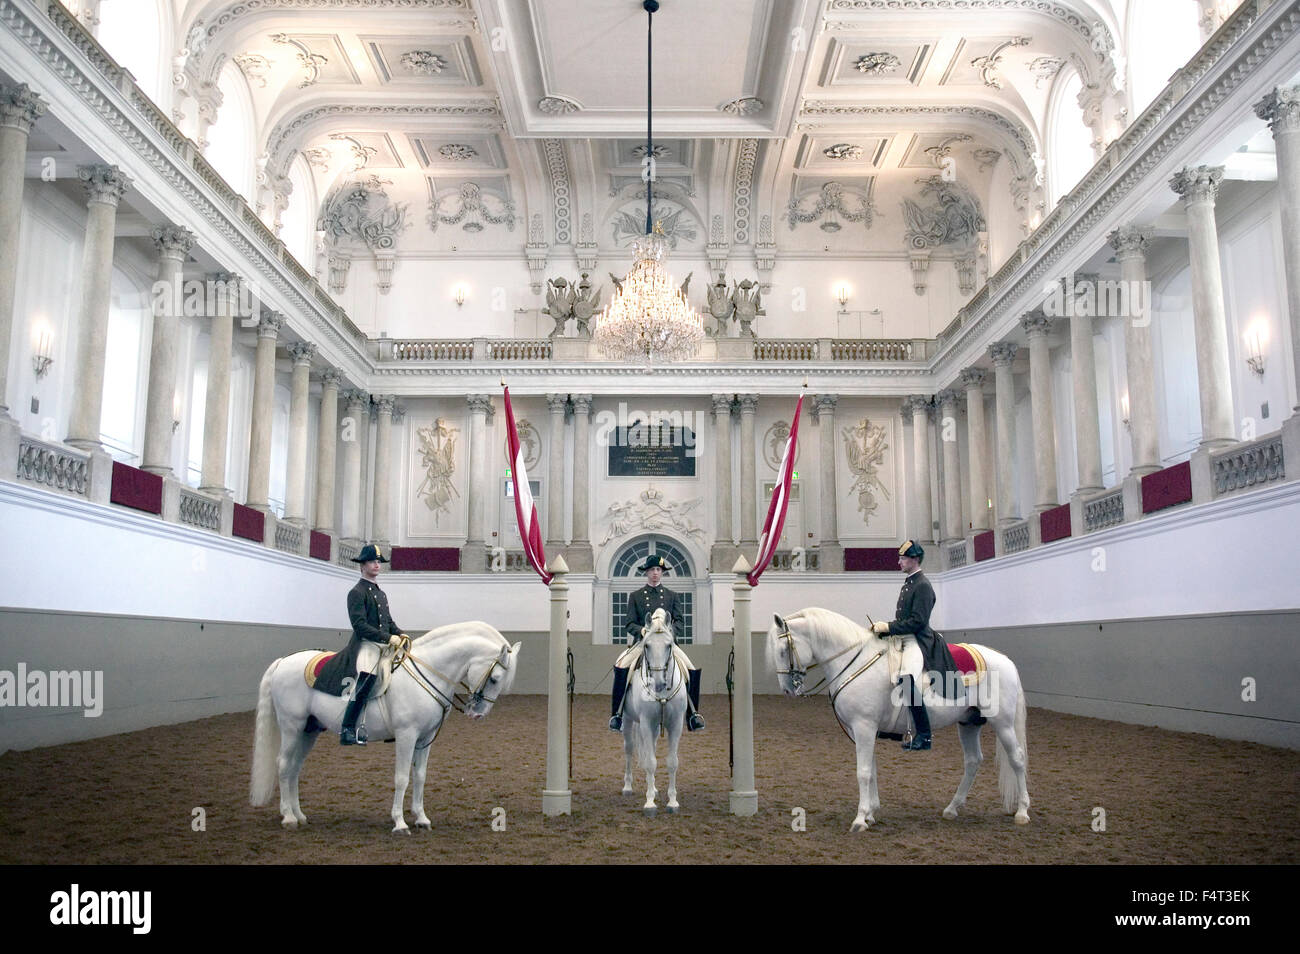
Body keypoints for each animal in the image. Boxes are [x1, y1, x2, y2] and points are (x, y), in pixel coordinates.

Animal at [250, 622, 521, 833]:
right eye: (495, 679)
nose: (478, 714)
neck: (427, 673)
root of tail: (283, 662)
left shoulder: (425, 738)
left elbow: (420, 776)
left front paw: (422, 819)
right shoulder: (406, 735)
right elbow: (402, 778)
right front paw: (400, 823)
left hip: (309, 731)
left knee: (295, 768)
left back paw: (300, 816)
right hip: (291, 727)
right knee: (284, 765)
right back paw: (288, 817)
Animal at [620, 608, 687, 815]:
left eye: (669, 645)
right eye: (647, 645)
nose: (658, 684)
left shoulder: (675, 725)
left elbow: (672, 762)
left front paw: (672, 802)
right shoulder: (646, 723)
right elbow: (650, 762)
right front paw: (649, 804)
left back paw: (656, 788)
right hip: (627, 720)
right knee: (629, 749)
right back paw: (627, 787)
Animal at [767, 608, 1029, 831]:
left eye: (782, 651)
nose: (788, 690)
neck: (855, 660)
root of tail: (1005, 660)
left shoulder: (864, 726)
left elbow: (863, 771)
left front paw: (860, 819)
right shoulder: (862, 730)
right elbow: (871, 769)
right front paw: (870, 814)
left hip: (1002, 723)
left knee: (1017, 759)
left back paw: (1022, 812)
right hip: (969, 723)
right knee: (973, 761)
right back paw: (952, 808)